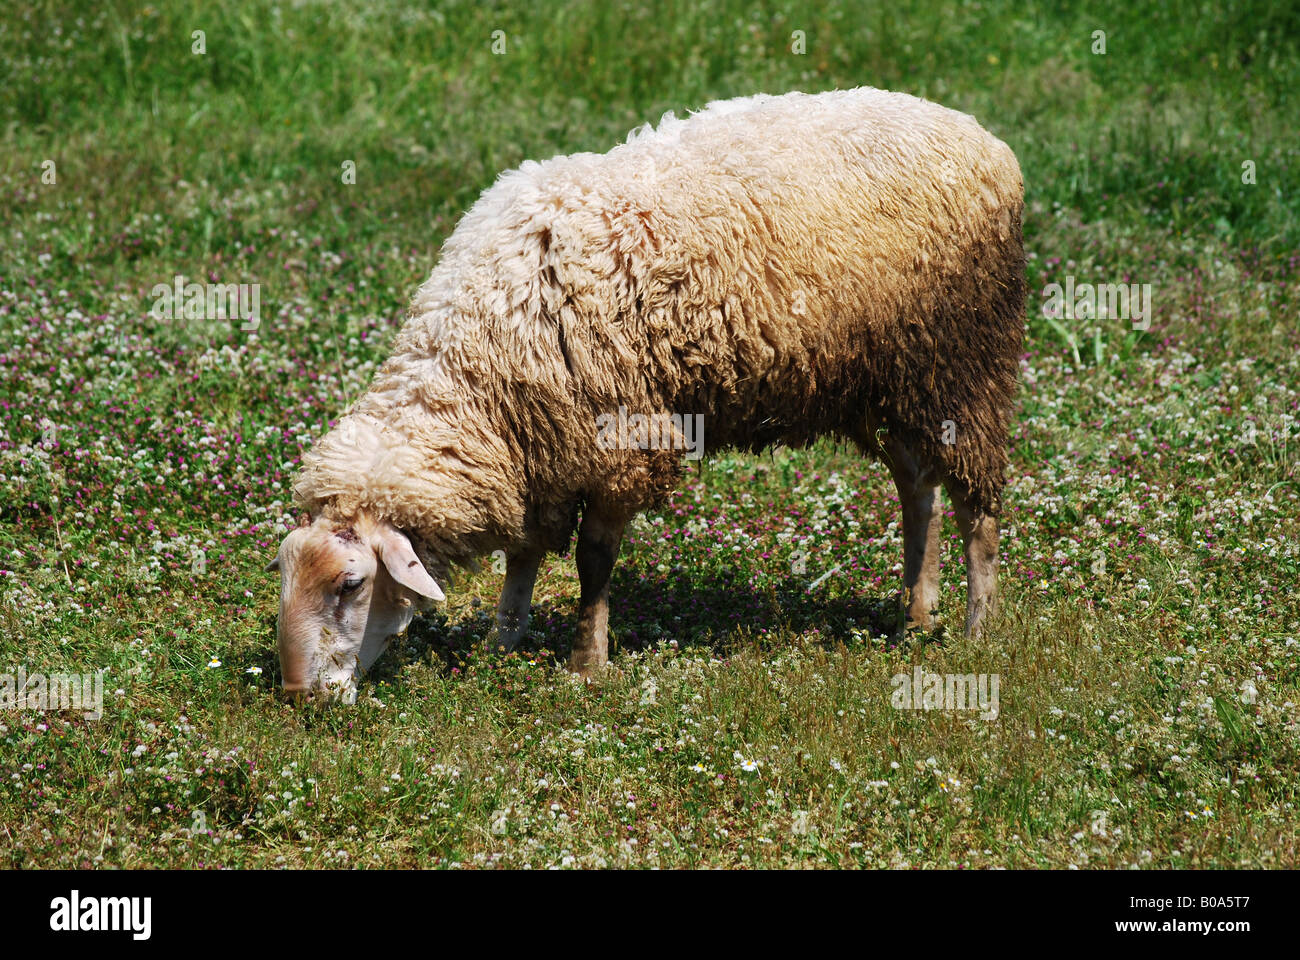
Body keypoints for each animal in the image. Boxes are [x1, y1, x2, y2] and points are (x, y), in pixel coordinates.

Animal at [268, 86, 1025, 699]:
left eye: (350, 585)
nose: (301, 698)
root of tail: (981, 138)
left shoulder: (618, 437)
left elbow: (592, 559)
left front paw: (587, 662)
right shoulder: (540, 443)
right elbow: (526, 552)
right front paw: (503, 641)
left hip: (965, 358)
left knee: (976, 498)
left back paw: (979, 625)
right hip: (885, 377)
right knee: (917, 483)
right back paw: (915, 612)